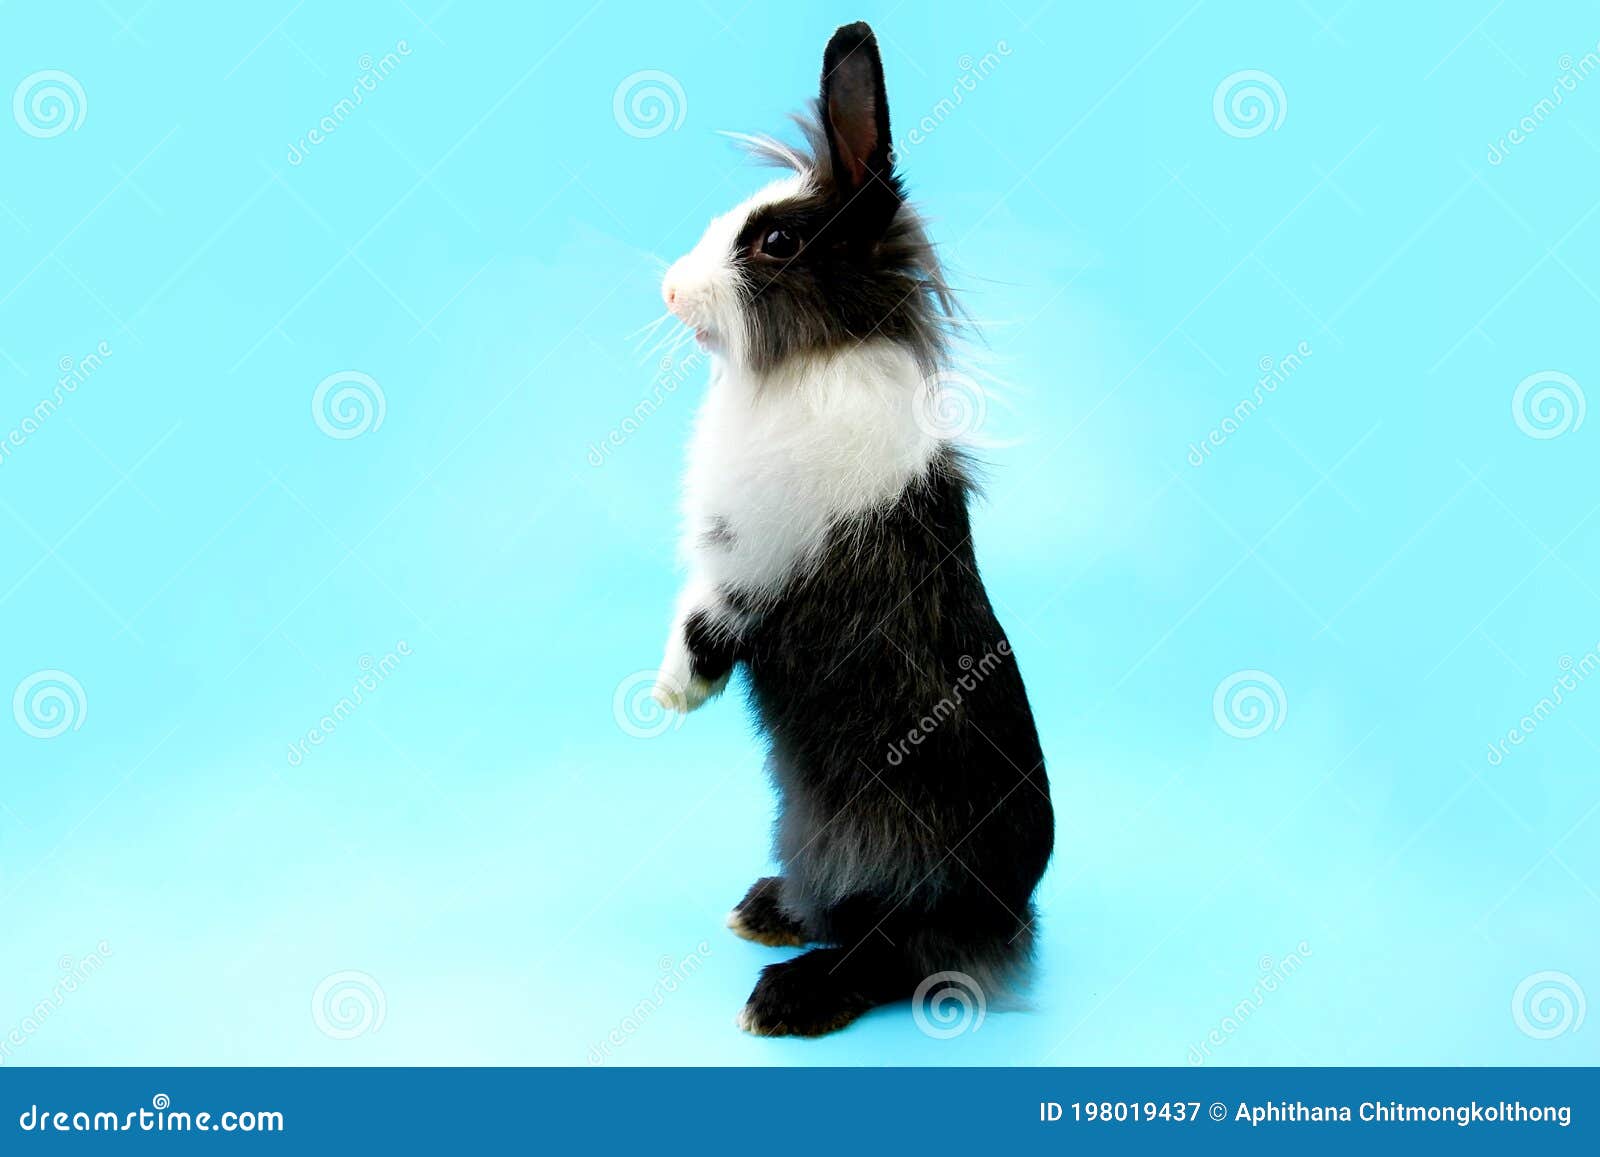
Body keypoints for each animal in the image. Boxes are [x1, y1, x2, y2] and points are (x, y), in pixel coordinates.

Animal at [651, 21, 1053, 1037]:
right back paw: (766, 909)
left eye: (777, 240)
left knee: (893, 955)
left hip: (877, 848)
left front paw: (671, 695)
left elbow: (705, 619)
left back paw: (789, 993)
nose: (671, 292)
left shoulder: (748, 559)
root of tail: (1011, 915)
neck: (808, 365)